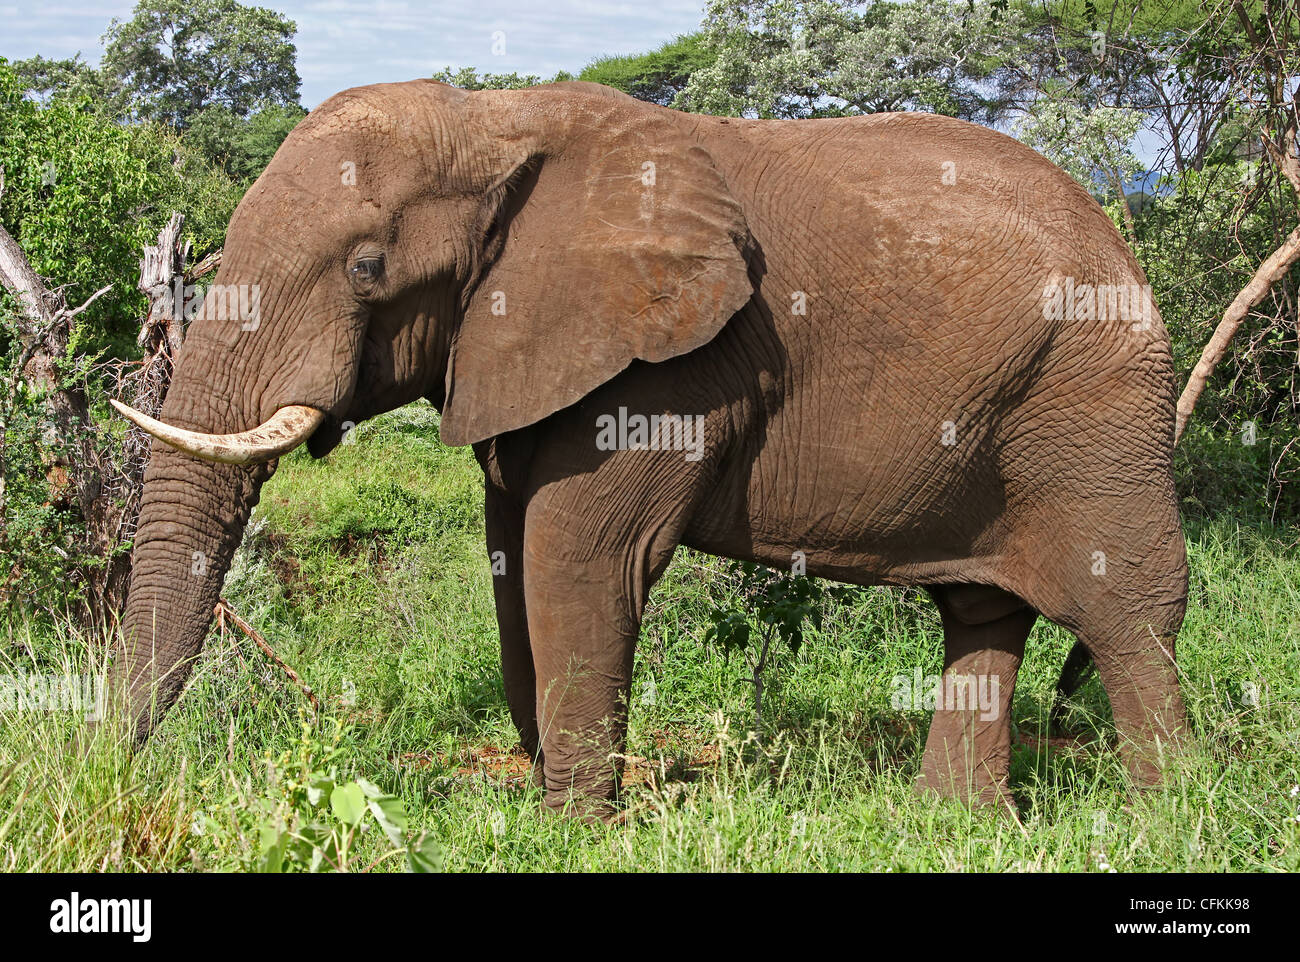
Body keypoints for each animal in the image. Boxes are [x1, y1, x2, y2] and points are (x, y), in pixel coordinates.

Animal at [109, 78, 1188, 818]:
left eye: (369, 266)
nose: (104, 769)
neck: (495, 121)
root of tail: (1121, 237)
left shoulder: (670, 368)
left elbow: (577, 557)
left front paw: (569, 828)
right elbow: (511, 558)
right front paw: (553, 798)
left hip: (1092, 399)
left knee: (1128, 605)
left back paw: (1166, 814)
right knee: (980, 611)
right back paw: (949, 822)